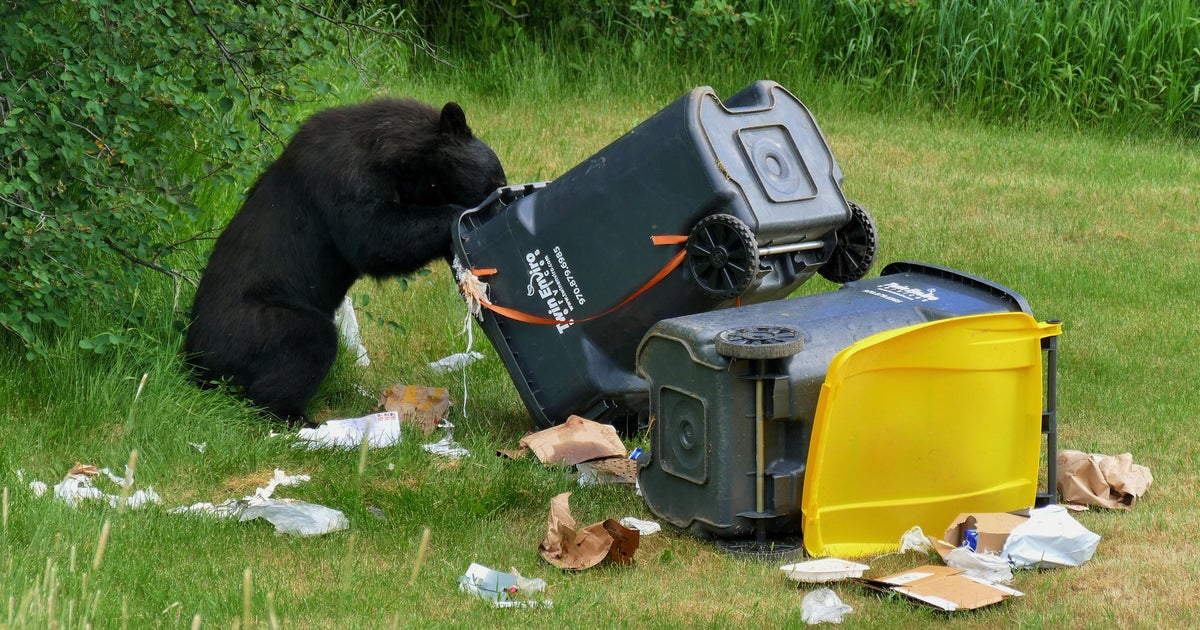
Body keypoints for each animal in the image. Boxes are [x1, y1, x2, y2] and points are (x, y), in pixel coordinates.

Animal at [184, 98, 507, 425]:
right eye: (496, 181)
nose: (505, 199)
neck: (393, 153)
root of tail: (194, 359)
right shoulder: (344, 176)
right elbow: (373, 236)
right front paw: (457, 216)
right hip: (256, 325)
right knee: (307, 344)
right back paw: (299, 419)